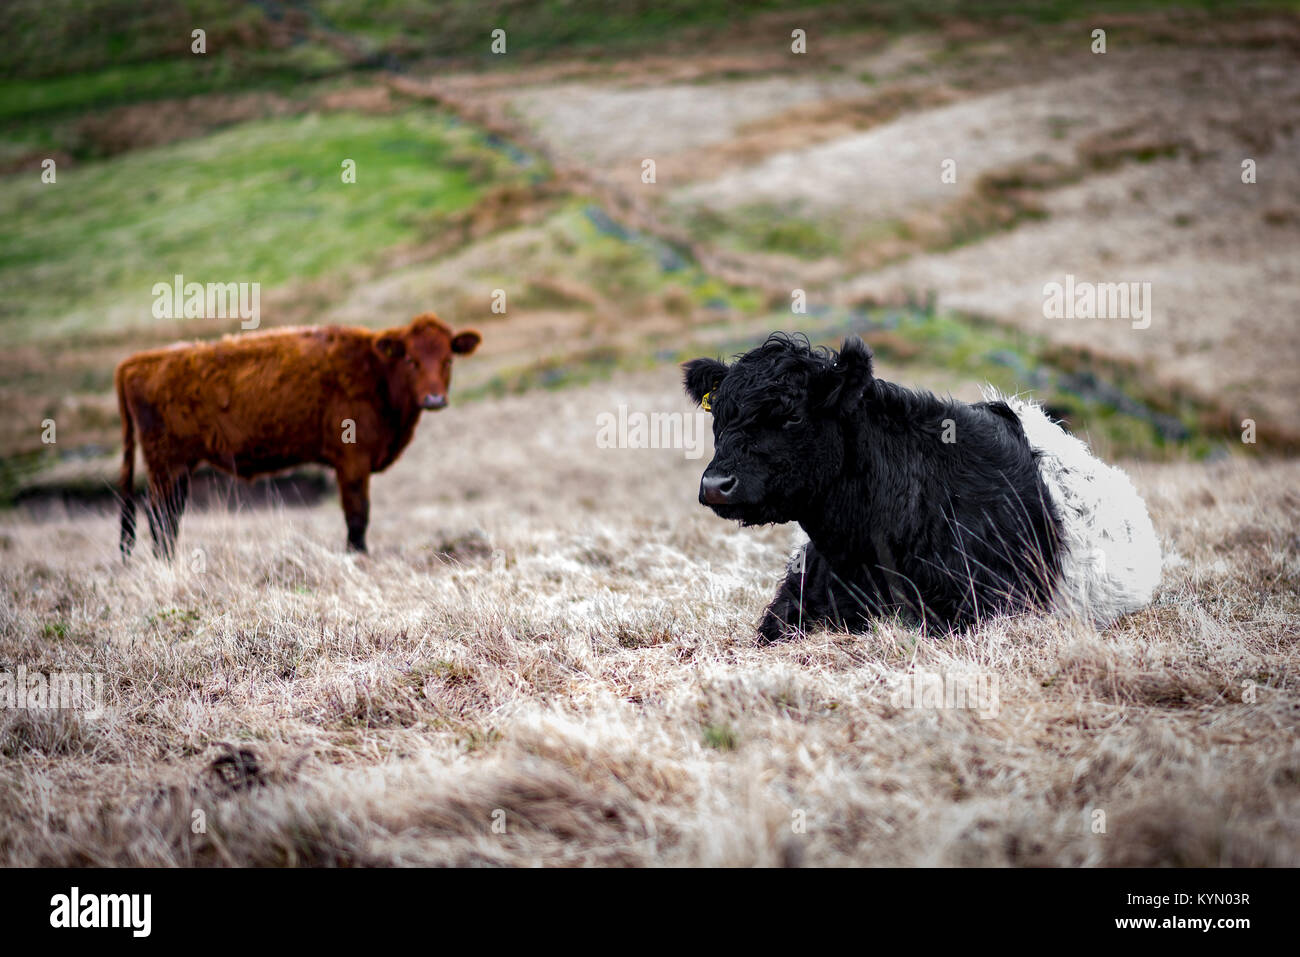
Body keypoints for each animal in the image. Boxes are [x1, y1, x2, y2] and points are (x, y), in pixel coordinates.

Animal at [115, 313, 480, 558]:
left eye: (448, 360)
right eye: (410, 359)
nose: (434, 399)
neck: (375, 372)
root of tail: (142, 360)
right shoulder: (352, 461)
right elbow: (358, 515)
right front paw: (357, 557)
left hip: (177, 469)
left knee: (169, 517)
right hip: (167, 464)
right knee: (160, 518)